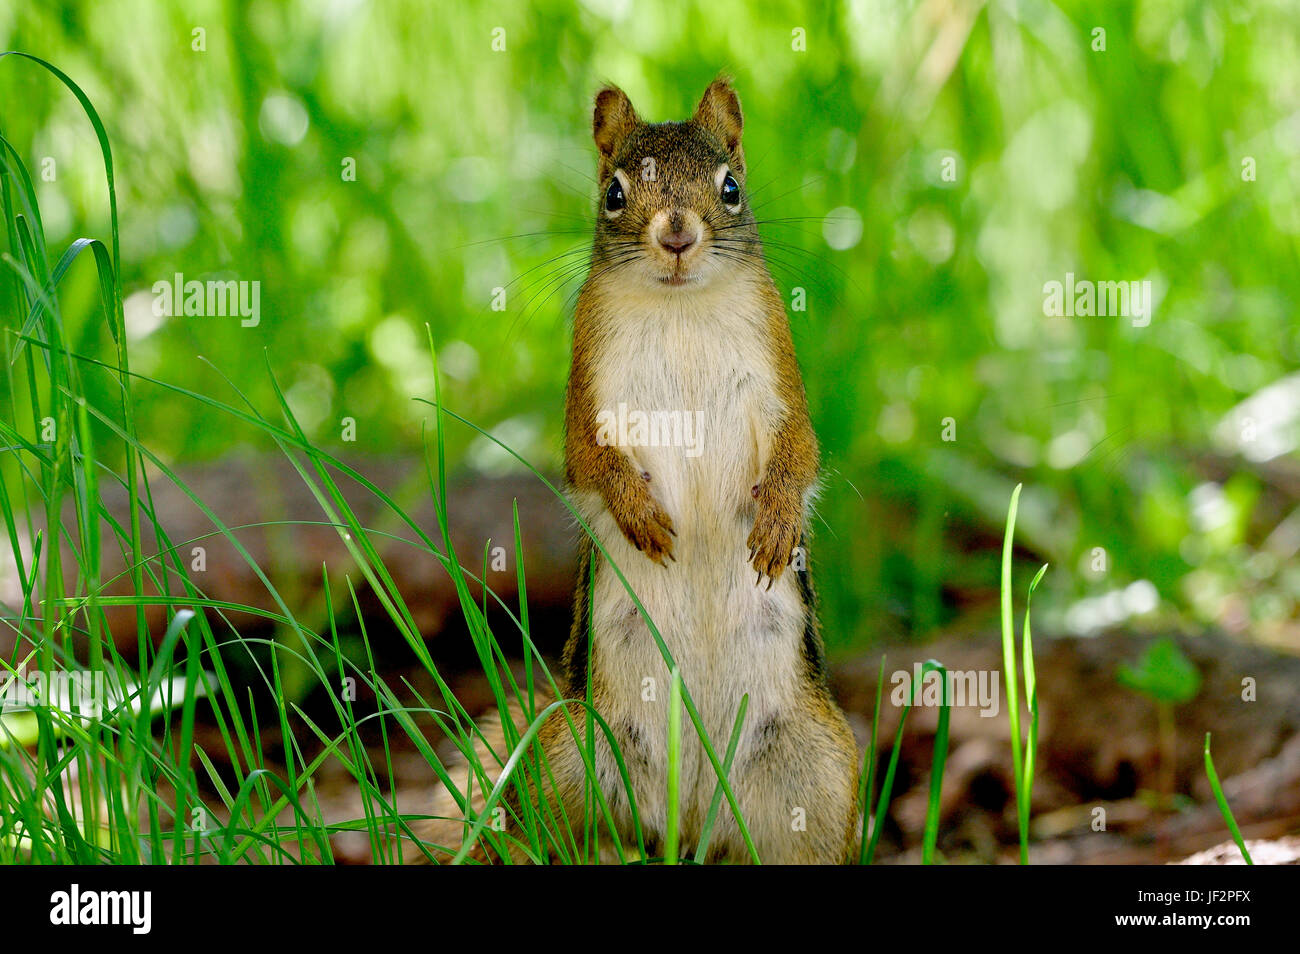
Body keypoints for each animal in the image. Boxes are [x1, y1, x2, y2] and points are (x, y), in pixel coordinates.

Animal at [415, 78, 859, 864]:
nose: (676, 235)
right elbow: (590, 458)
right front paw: (639, 514)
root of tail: (696, 812)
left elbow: (800, 451)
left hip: (823, 774)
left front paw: (777, 523)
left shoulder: (781, 373)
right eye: (614, 193)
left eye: (732, 186)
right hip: (570, 754)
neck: (680, 307)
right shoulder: (588, 385)